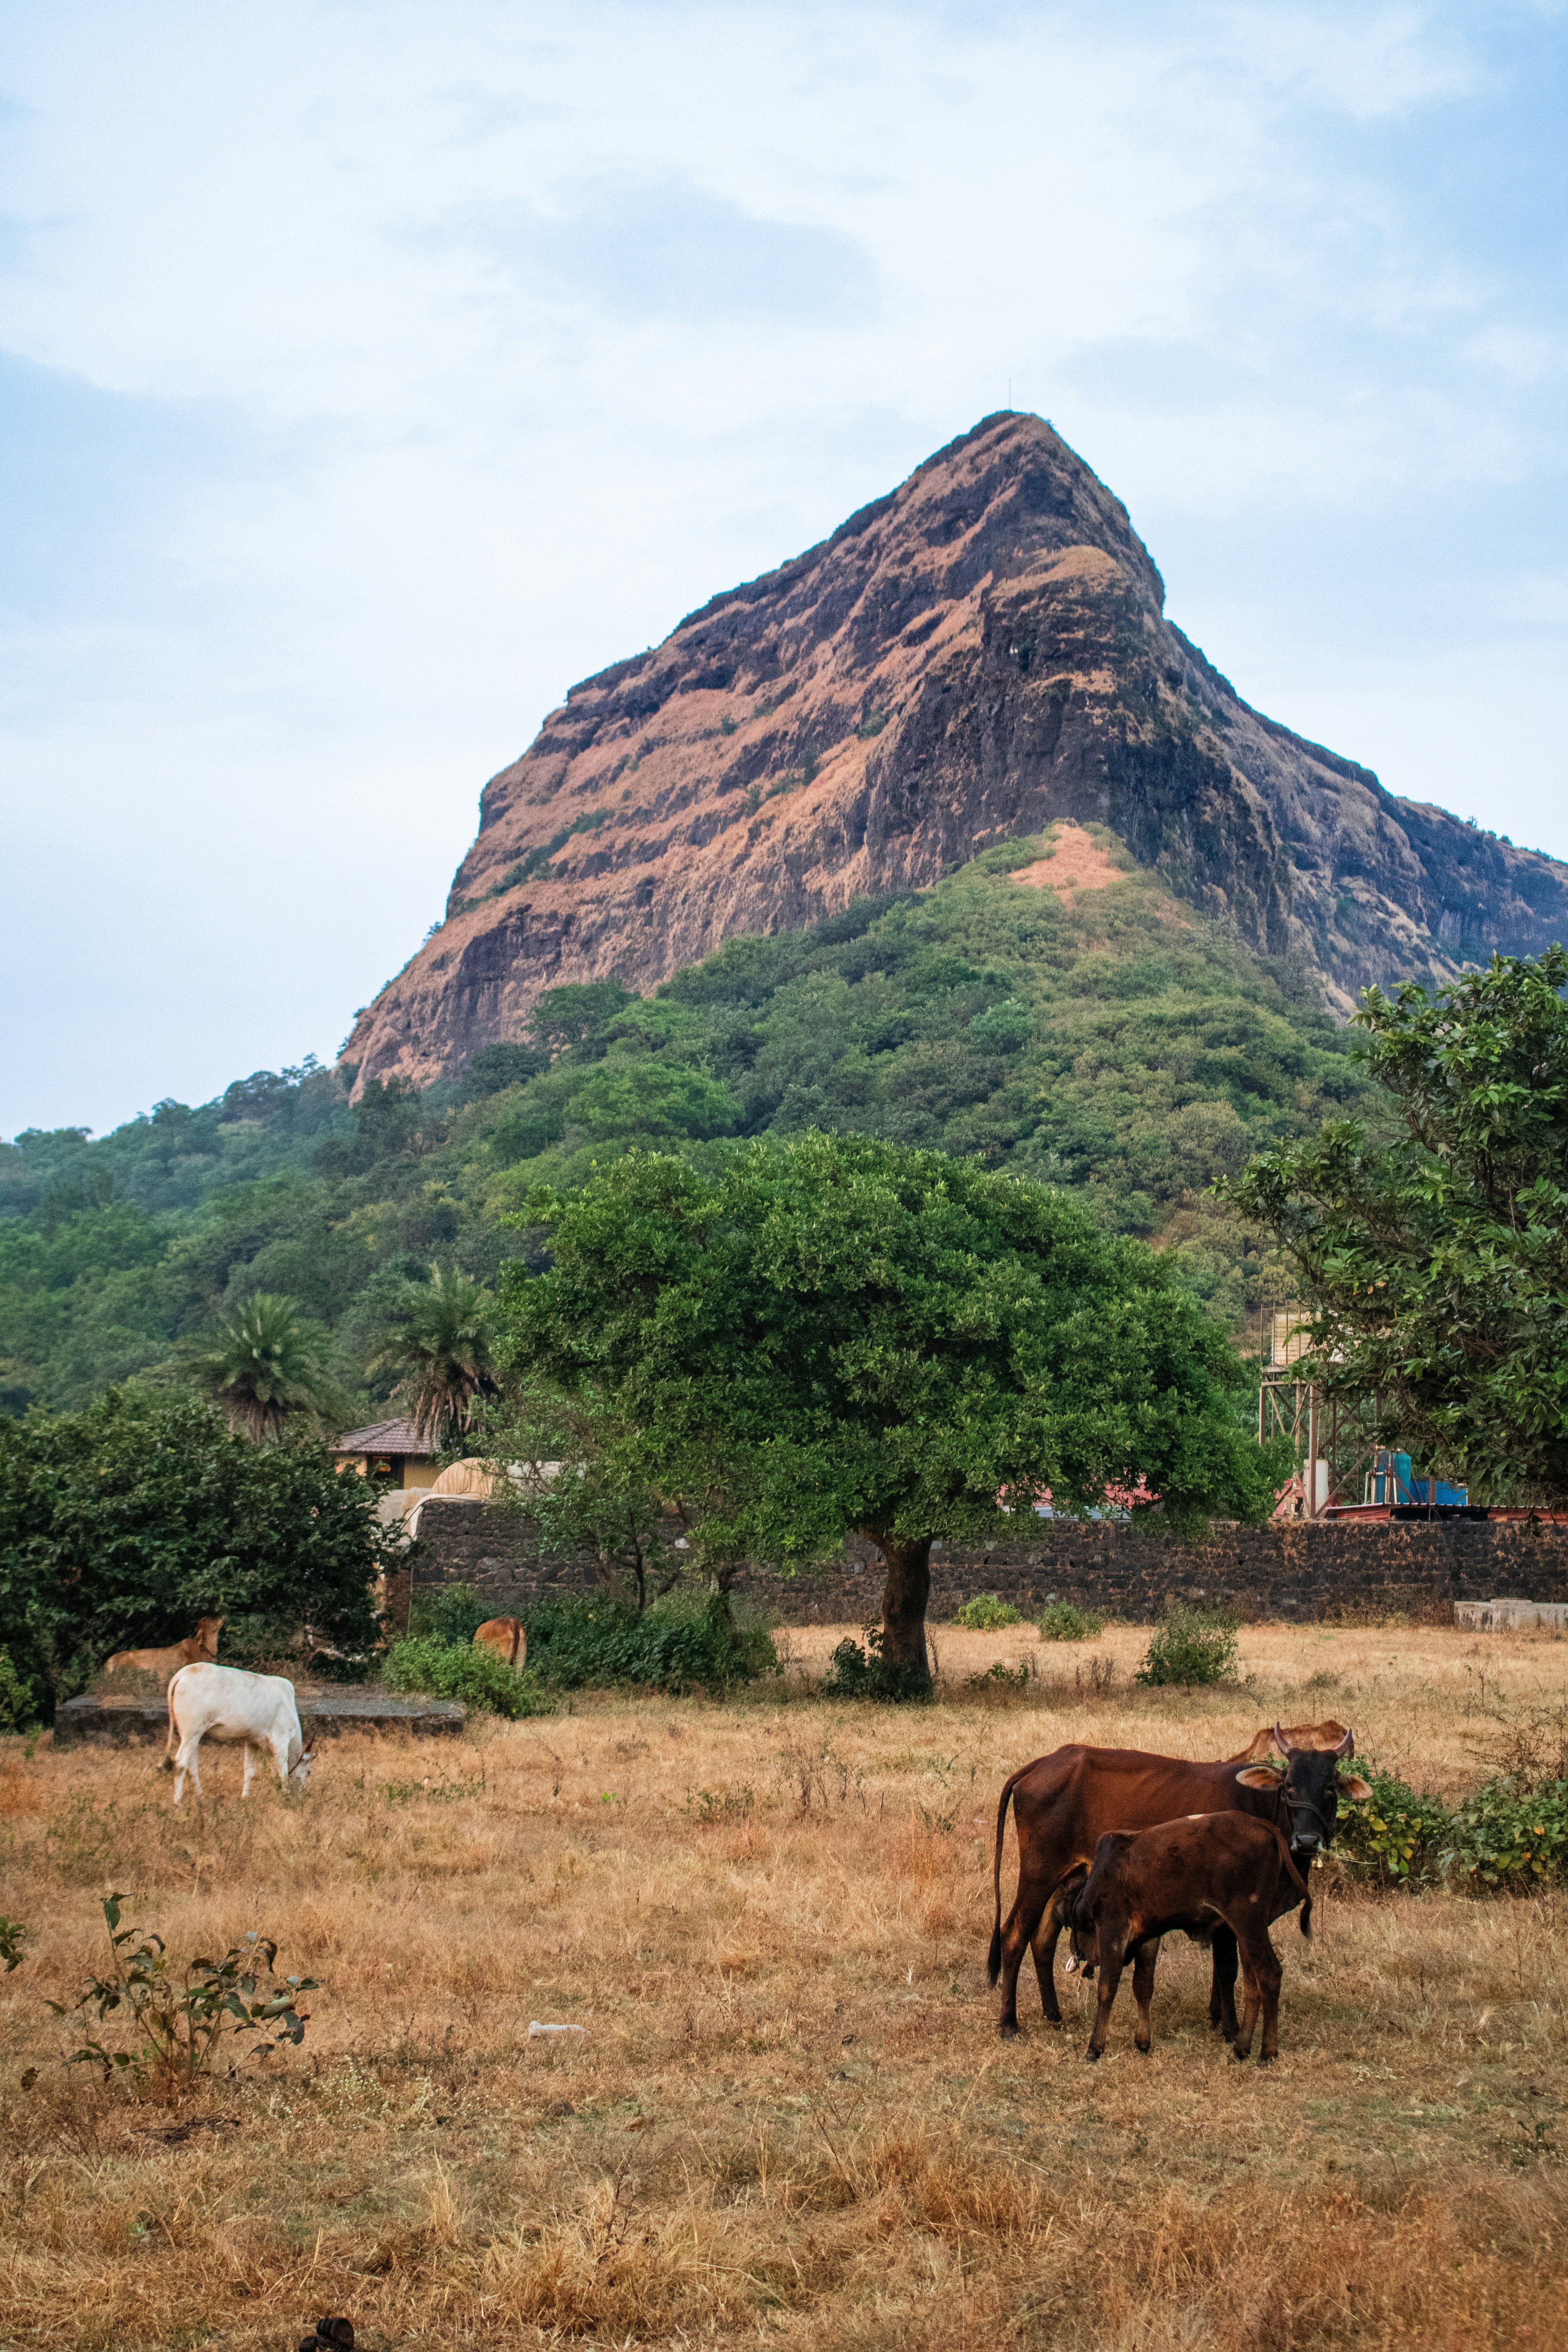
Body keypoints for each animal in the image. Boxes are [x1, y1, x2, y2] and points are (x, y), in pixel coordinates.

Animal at [165, 1663, 314, 1803]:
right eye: (309, 1772)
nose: (302, 1795)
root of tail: (183, 1674)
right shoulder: (281, 1741)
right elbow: (283, 1772)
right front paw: (286, 1796)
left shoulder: (252, 1742)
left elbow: (249, 1770)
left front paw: (245, 1797)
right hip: (192, 1733)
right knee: (181, 1763)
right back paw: (178, 1801)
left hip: (191, 1736)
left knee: (192, 1764)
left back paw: (201, 1796)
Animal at [987, 1724, 1371, 2037]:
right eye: (1290, 1786)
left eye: (1331, 1788)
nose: (1307, 1840)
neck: (1260, 1805)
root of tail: (1044, 1763)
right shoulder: (1230, 1908)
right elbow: (1227, 1968)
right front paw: (1230, 2028)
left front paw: (1216, 2017)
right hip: (1039, 1872)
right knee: (1015, 1935)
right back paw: (1009, 2024)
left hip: (1066, 1877)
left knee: (1043, 1939)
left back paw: (1053, 2014)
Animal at [1058, 1814, 1310, 2063]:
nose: (1075, 1951)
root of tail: (1261, 1824)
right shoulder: (1149, 1935)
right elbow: (1143, 1986)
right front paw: (1143, 2042)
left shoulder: (1113, 1928)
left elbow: (1107, 1988)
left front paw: (1095, 2047)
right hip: (1245, 1931)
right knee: (1252, 1984)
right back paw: (1241, 2048)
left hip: (1249, 1922)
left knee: (1270, 1973)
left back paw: (1268, 2052)